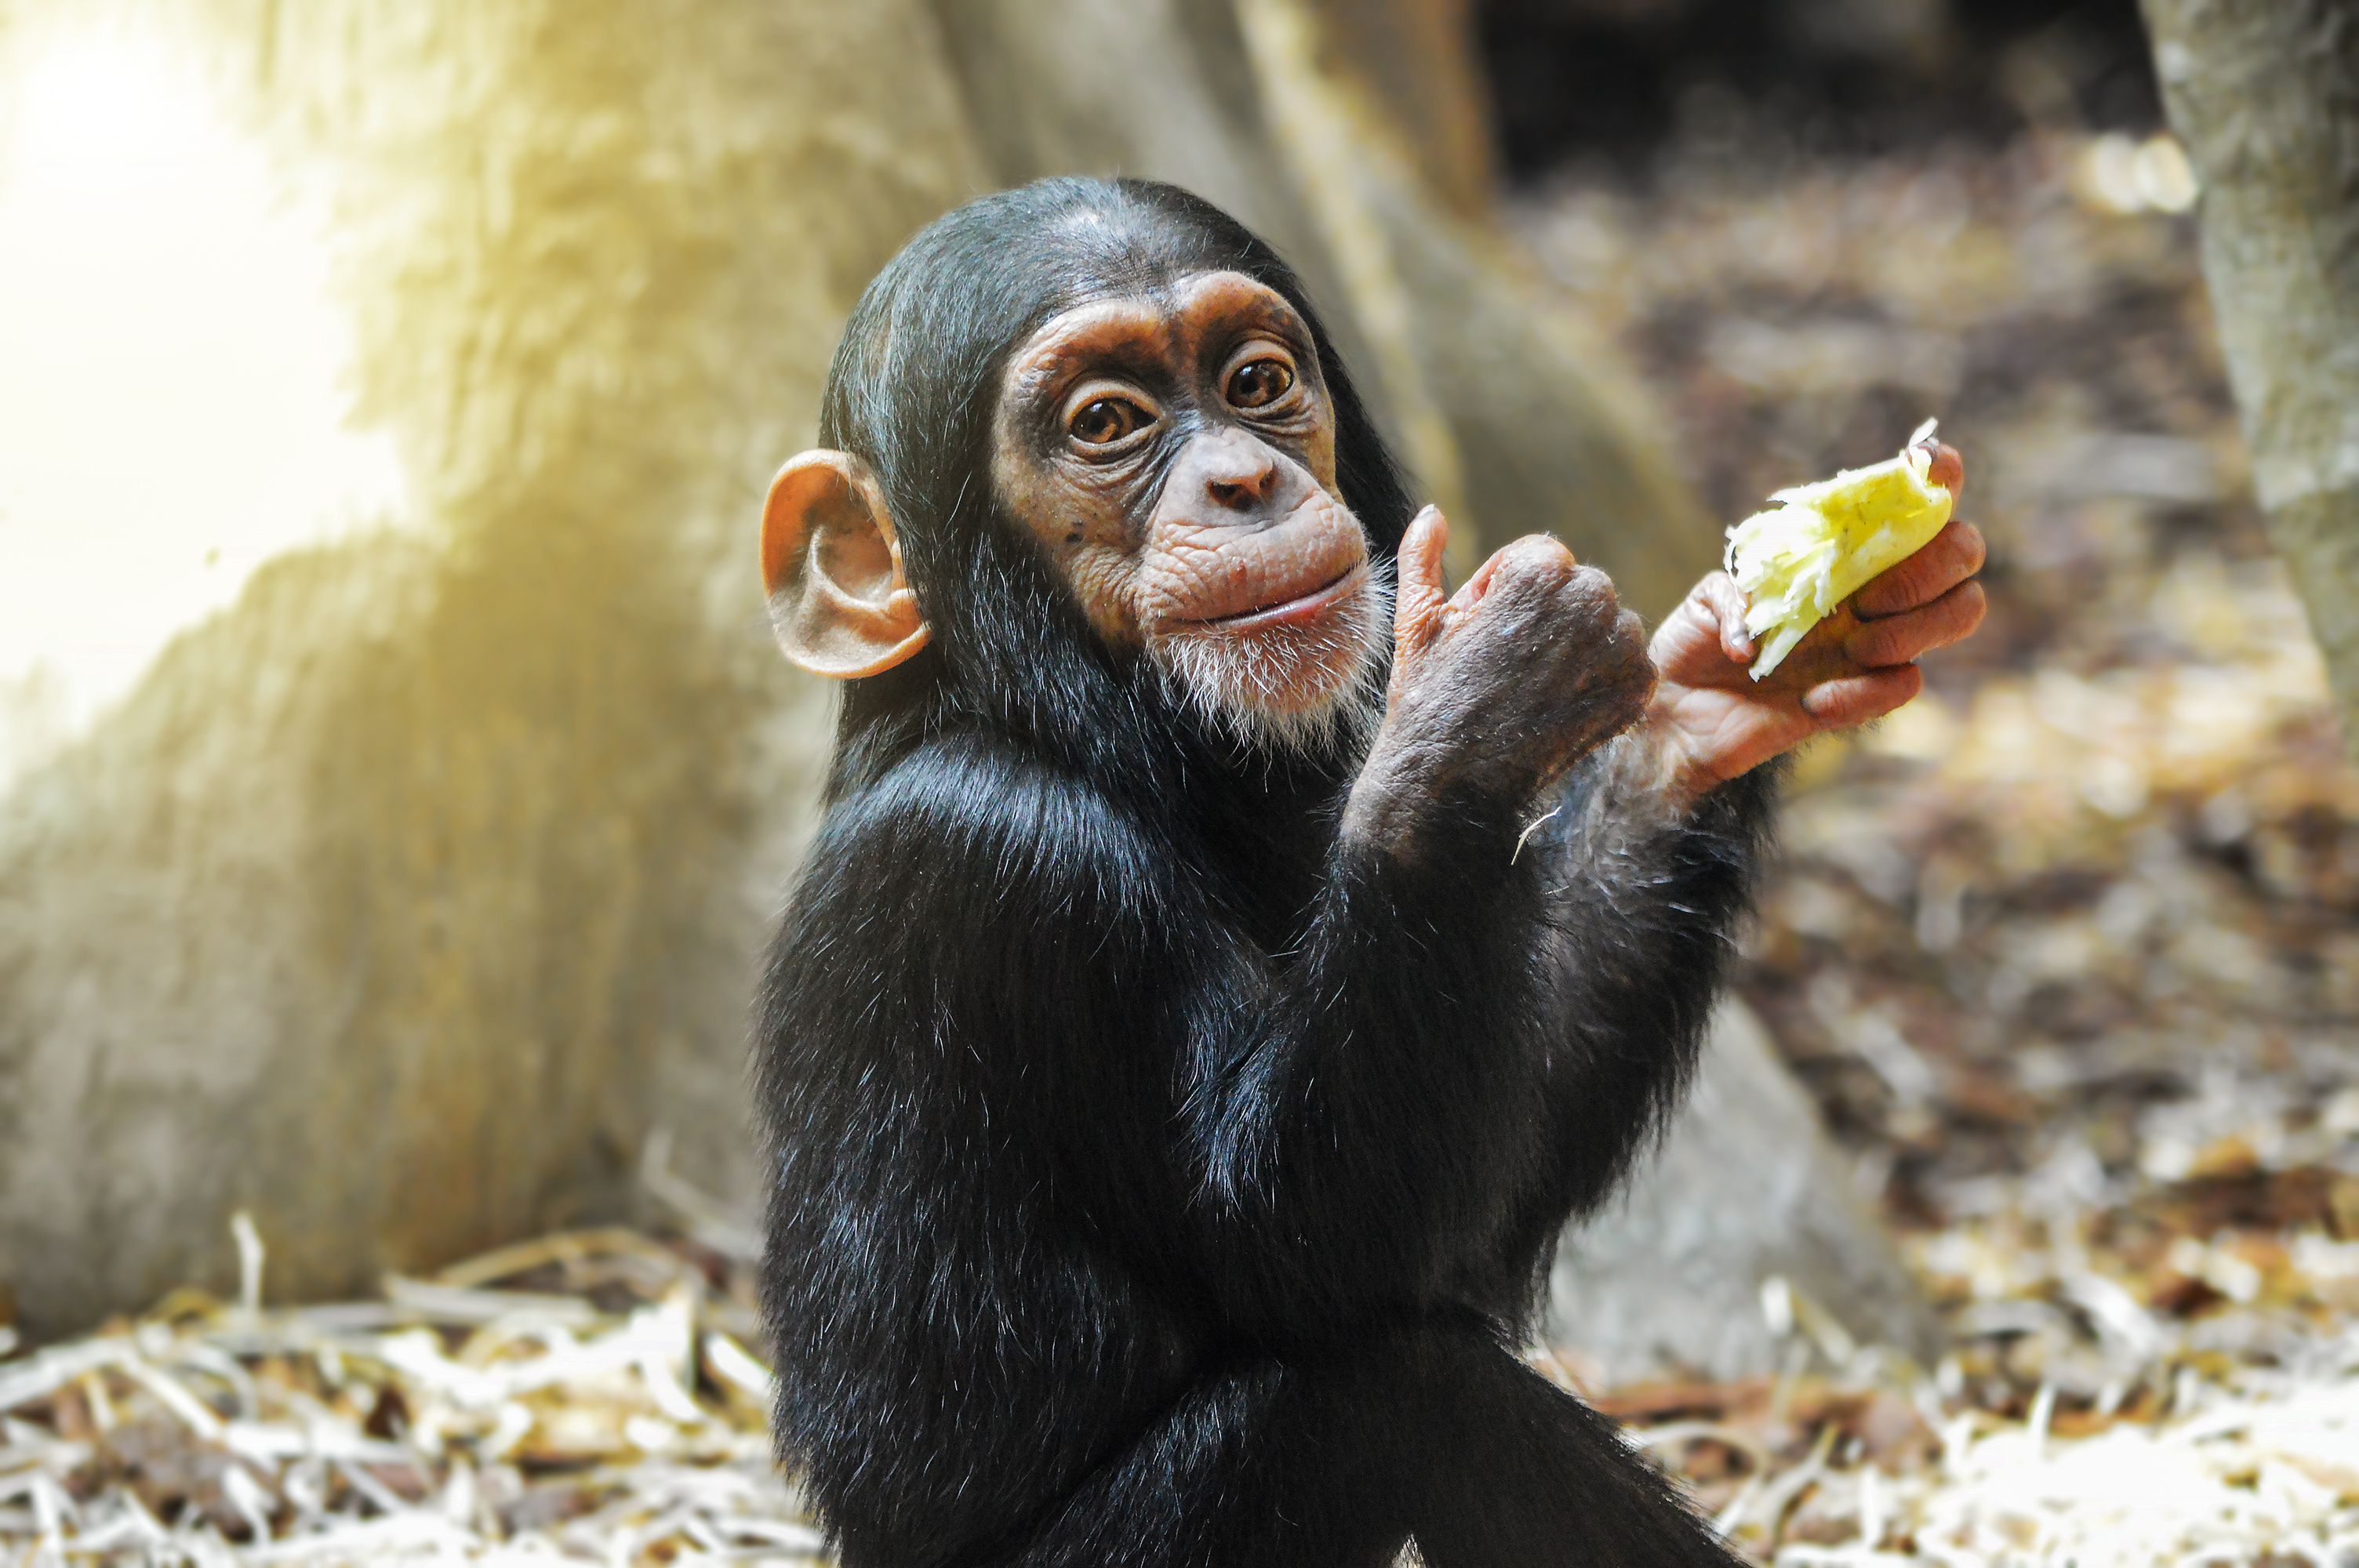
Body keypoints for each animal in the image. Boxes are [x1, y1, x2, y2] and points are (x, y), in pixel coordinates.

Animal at [752, 177, 1985, 1568]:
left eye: (1255, 381)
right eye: (1107, 423)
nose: (1244, 477)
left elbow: (1469, 1208)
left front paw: (1726, 675)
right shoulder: (1003, 862)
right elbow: (1304, 1239)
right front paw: (1479, 695)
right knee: (1400, 1391)